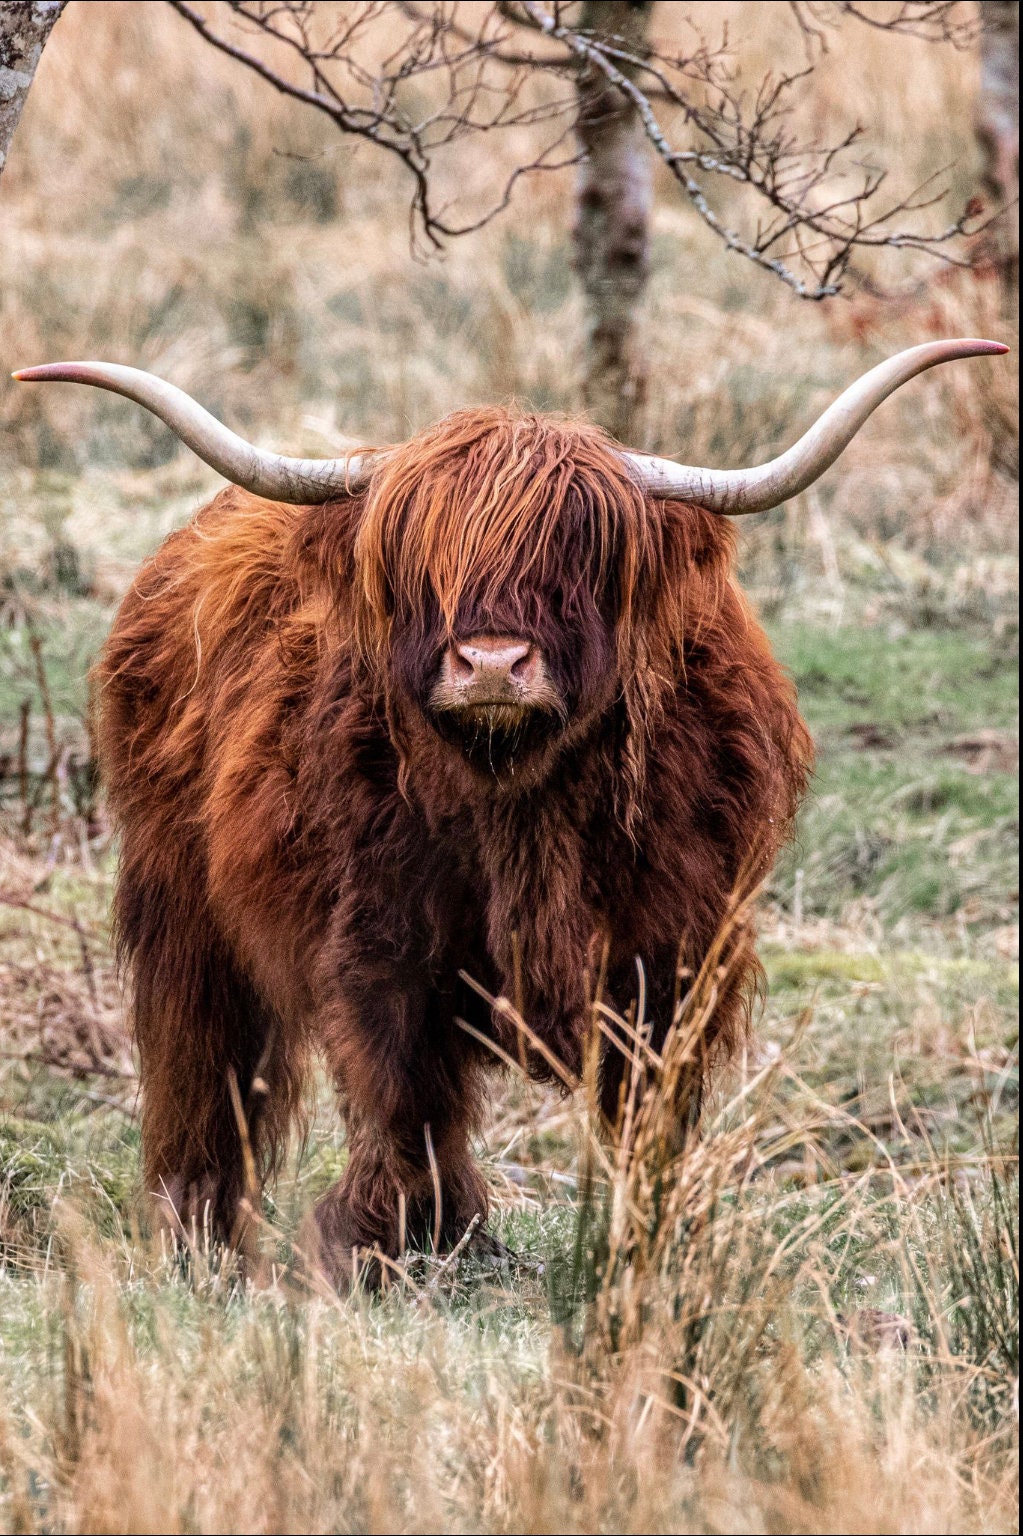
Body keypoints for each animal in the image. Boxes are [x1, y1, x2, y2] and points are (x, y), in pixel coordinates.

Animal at [14, 338, 1007, 1284]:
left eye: (580, 558)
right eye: (421, 565)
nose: (491, 662)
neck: (521, 803)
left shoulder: (676, 953)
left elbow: (645, 1115)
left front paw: (642, 1245)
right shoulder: (377, 944)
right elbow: (404, 1099)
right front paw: (383, 1246)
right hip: (181, 903)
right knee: (202, 1063)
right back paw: (197, 1236)